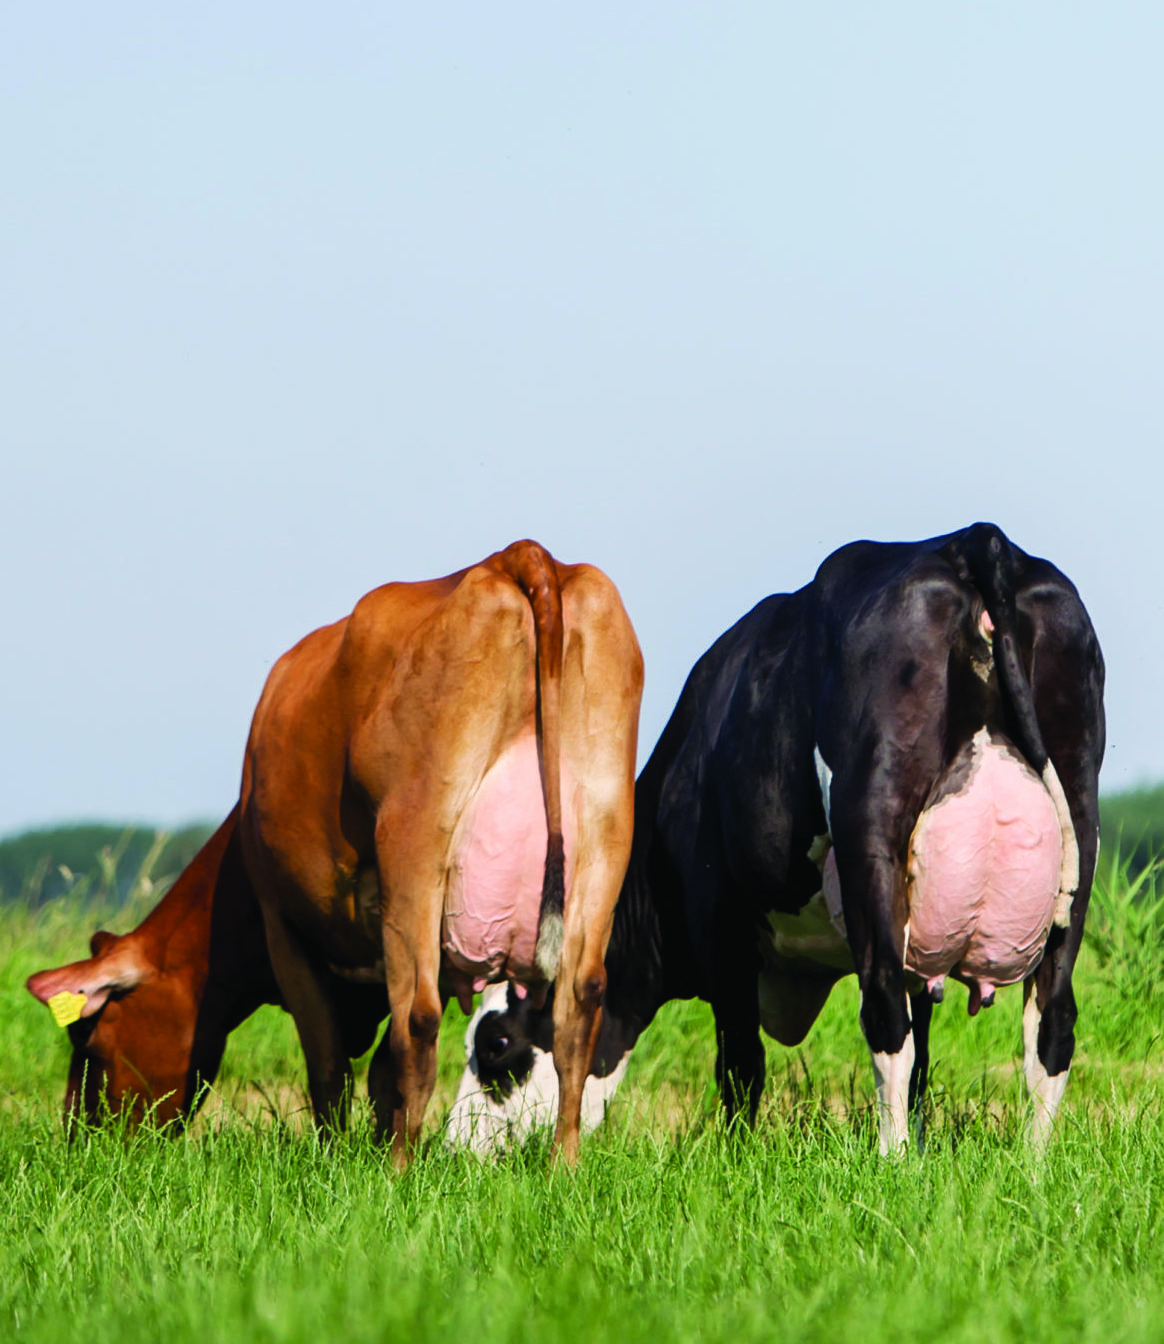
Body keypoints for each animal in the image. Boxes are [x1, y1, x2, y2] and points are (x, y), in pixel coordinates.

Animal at [28, 540, 643, 1163]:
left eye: (91, 1040)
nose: (79, 1136)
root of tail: (516, 555)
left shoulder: (285, 929)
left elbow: (331, 1067)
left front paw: (333, 1156)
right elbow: (375, 1072)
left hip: (415, 843)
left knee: (417, 1020)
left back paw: (400, 1169)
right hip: (604, 835)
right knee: (577, 1007)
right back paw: (562, 1164)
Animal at [448, 524, 1104, 1155]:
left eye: (496, 1042)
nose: (454, 1147)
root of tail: (977, 538)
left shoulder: (720, 923)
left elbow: (741, 1063)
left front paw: (736, 1156)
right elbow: (922, 1057)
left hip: (873, 826)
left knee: (885, 1008)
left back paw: (890, 1161)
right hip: (1078, 820)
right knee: (1052, 1022)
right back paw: (1032, 1166)